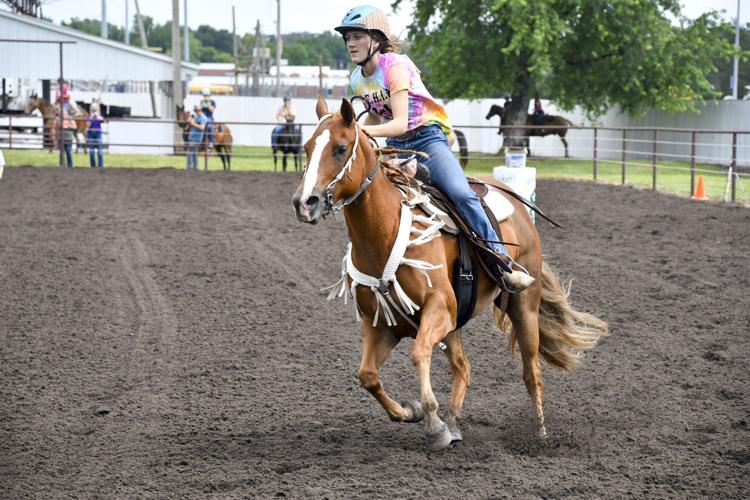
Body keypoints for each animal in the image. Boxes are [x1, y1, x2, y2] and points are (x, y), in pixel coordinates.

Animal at [292, 97, 608, 451]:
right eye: (306, 147)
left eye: (340, 148)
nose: (304, 202)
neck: (384, 233)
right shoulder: (383, 326)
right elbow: (367, 375)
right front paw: (412, 412)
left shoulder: (438, 307)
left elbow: (418, 353)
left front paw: (432, 422)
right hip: (457, 318)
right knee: (463, 367)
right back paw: (454, 422)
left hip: (523, 305)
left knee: (531, 372)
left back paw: (539, 434)